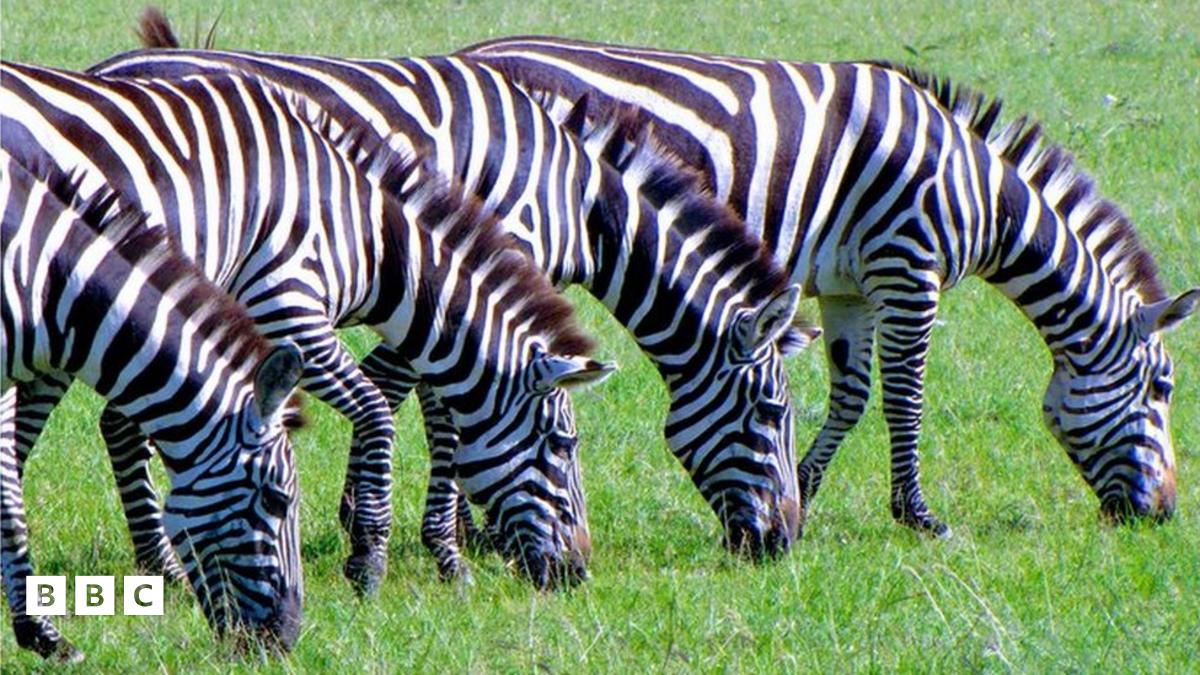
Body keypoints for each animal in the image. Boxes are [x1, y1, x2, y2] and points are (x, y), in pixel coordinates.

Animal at [2, 60, 609, 592]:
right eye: (563, 444)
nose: (578, 574)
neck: (369, 238)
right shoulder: (284, 308)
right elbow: (375, 410)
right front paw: (369, 557)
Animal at [88, 8, 820, 581]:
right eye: (770, 411)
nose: (781, 544)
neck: (577, 199)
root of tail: (115, 65)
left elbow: (421, 391)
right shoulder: (466, 275)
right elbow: (441, 405)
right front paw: (447, 541)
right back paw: (165, 561)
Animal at [460, 36, 1199, 533]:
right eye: (1163, 389)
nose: (1162, 515)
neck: (982, 194)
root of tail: (471, 53)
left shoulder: (852, 289)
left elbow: (851, 395)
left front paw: (806, 494)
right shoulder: (908, 265)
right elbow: (904, 398)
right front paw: (917, 515)